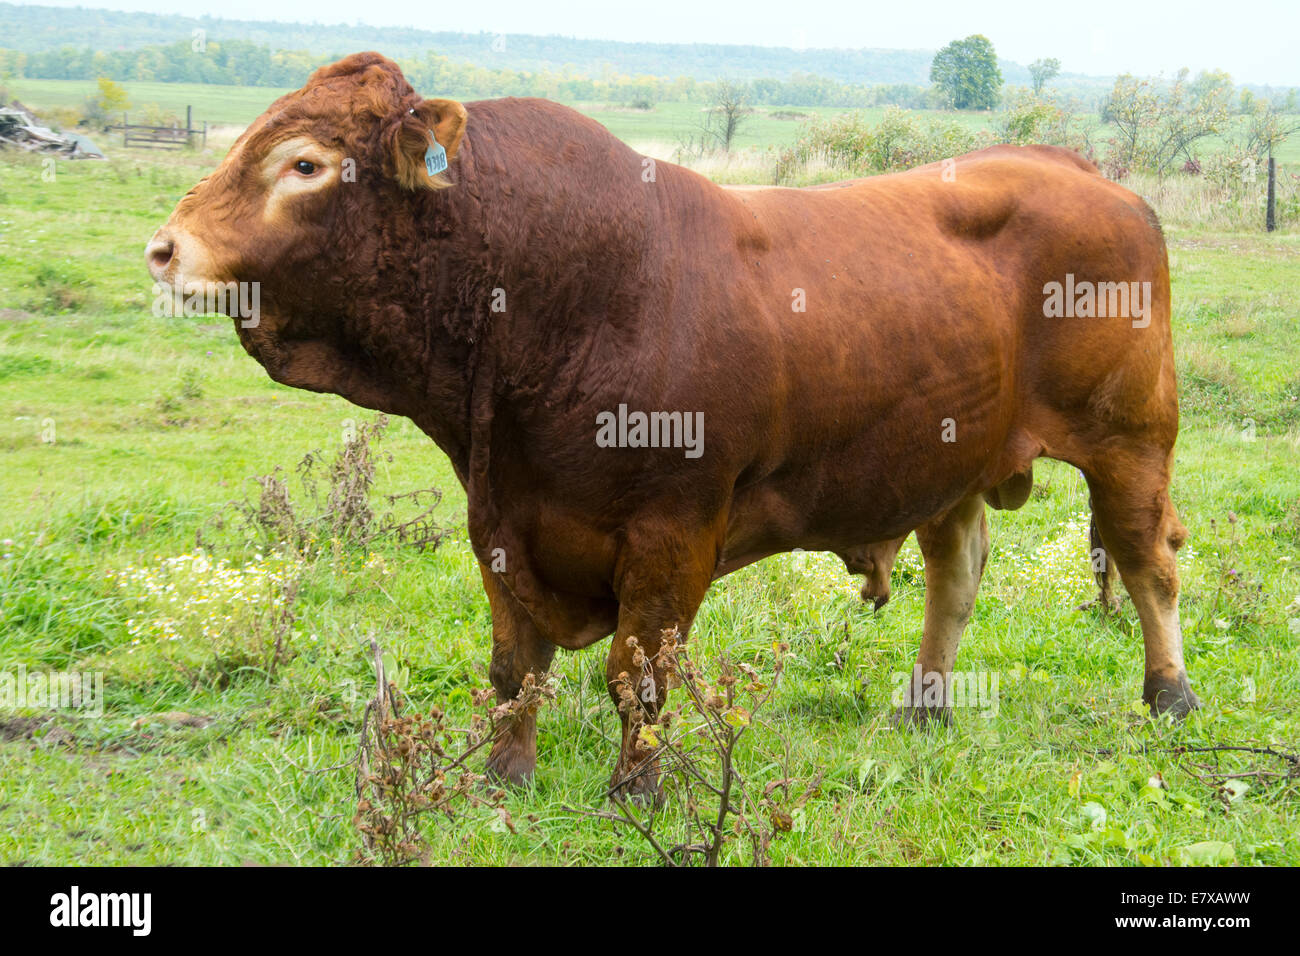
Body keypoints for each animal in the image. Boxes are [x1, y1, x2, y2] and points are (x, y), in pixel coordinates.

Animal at [146, 52, 1197, 801]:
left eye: (305, 164)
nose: (165, 248)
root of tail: (1090, 174)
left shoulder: (672, 533)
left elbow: (636, 672)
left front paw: (636, 789)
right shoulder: (501, 524)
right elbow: (513, 666)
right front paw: (504, 778)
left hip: (1130, 440)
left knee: (1147, 564)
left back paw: (1169, 694)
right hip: (948, 456)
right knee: (958, 573)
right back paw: (927, 704)